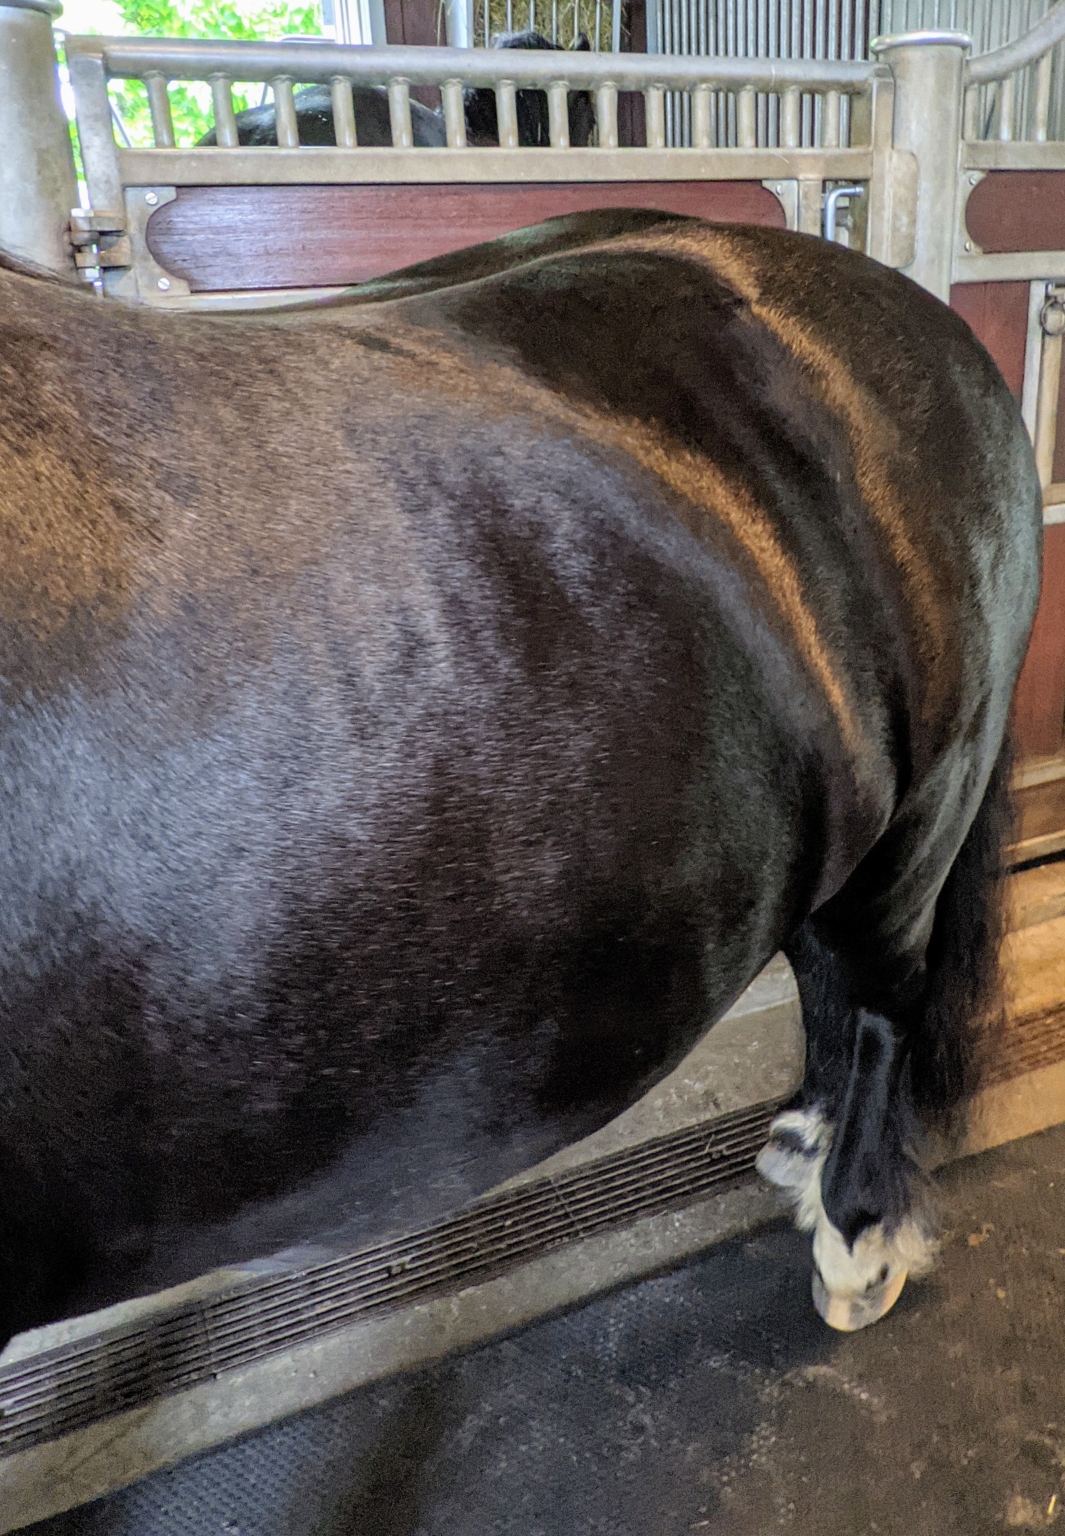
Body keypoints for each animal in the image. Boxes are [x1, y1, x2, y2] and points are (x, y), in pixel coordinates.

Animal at [0, 208, 1040, 1350]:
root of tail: (920, 318)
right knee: (826, 966)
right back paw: (805, 1147)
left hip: (922, 822)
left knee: (881, 1005)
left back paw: (854, 1233)